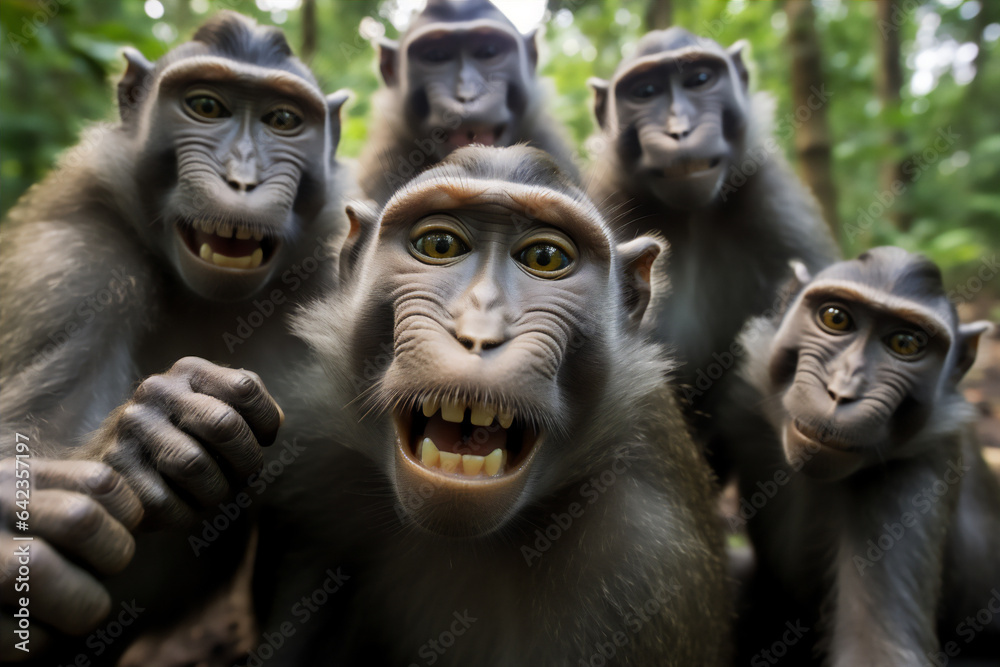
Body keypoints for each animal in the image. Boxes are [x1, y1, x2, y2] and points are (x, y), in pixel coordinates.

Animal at [0, 12, 348, 662]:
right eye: (206, 106)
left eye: (283, 120)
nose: (242, 179)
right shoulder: (70, 262)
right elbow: (23, 436)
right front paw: (156, 429)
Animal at [586, 28, 839, 476]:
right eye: (645, 91)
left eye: (701, 79)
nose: (679, 130)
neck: (692, 213)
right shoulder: (606, 202)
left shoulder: (777, 203)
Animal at [722, 247, 999, 665]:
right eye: (835, 318)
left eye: (905, 343)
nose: (842, 392)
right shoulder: (741, 401)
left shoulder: (916, 472)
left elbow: (876, 647)